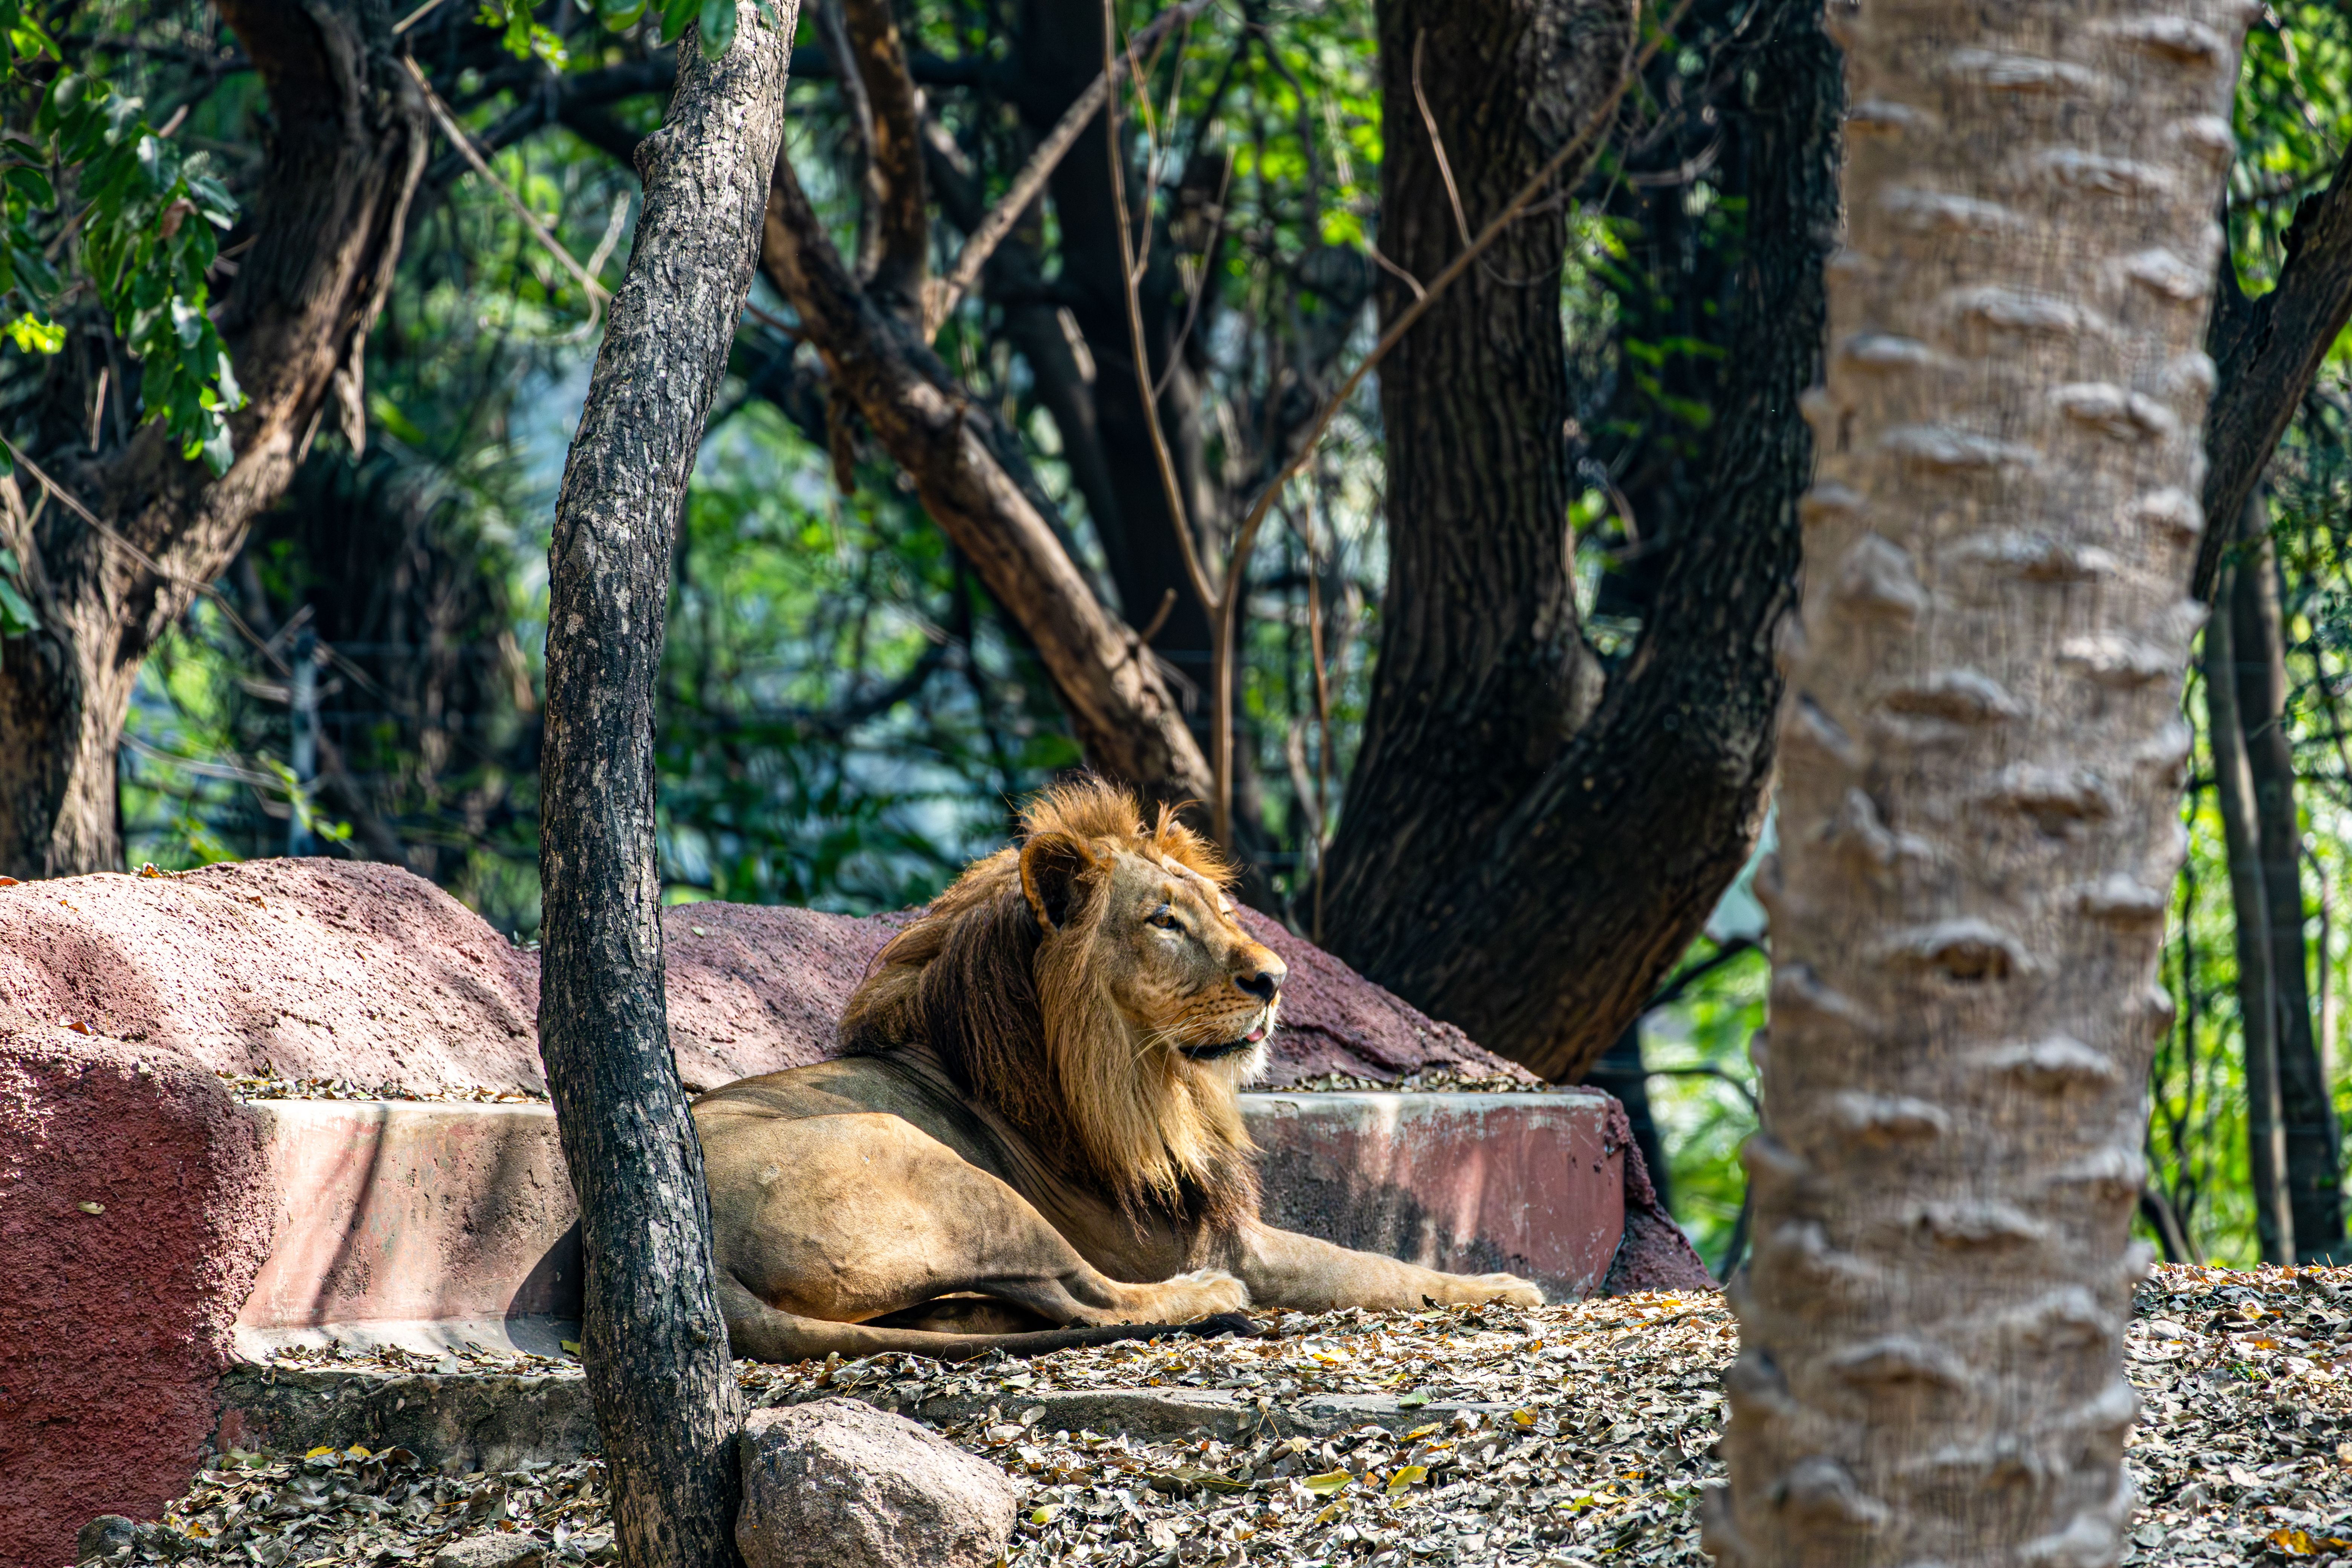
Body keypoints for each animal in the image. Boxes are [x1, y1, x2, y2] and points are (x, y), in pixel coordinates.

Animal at [693, 778, 1544, 1364]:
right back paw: (1205, 1297)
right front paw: (1501, 1288)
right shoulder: (1212, 1242)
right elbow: (1377, 1265)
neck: (1144, 1083)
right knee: (1089, 1298)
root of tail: (707, 1268)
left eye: (1223, 912)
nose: (1276, 979)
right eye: (1164, 920)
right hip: (944, 1173)